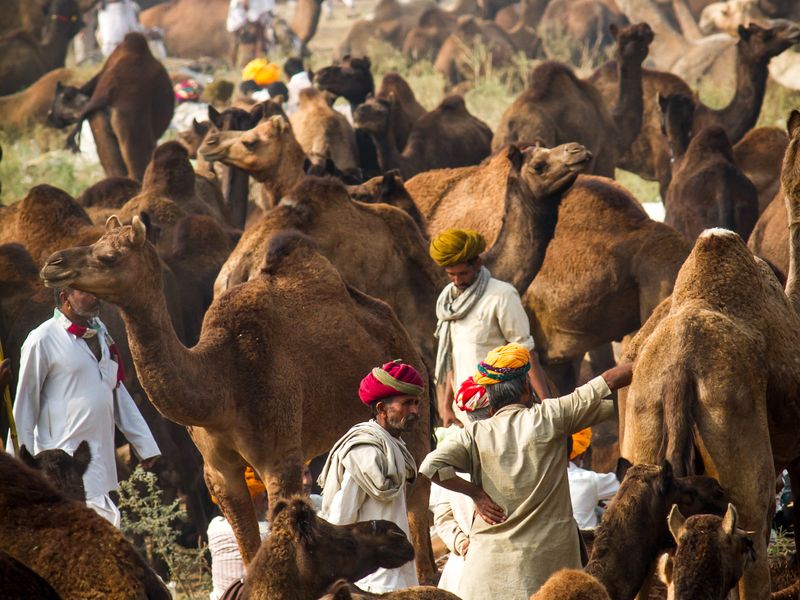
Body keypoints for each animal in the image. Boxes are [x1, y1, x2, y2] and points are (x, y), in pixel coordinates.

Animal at [40, 223, 437, 582]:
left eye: (109, 256)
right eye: (94, 241)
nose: (53, 264)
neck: (223, 384)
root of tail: (402, 335)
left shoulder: (280, 461)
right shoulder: (219, 471)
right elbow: (249, 554)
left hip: (412, 422)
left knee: (419, 512)